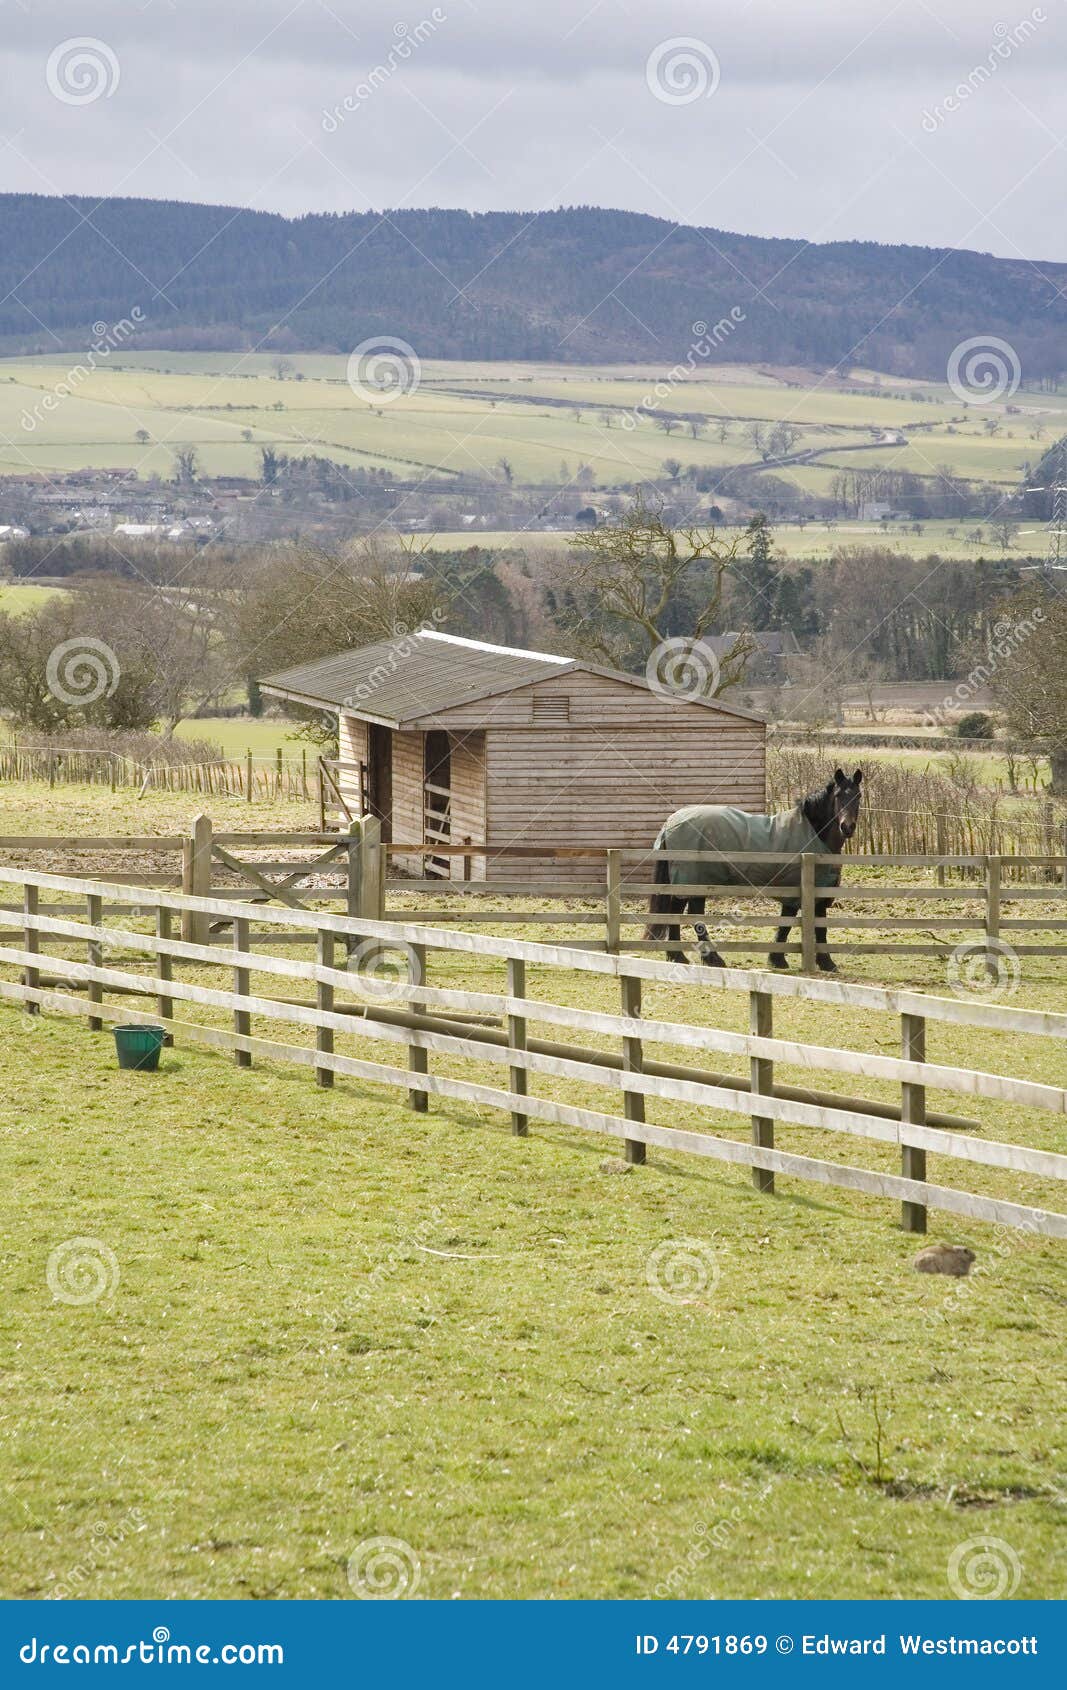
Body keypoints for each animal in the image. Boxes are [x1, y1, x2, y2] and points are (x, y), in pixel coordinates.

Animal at [645, 768, 863, 972]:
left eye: (858, 796)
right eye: (838, 795)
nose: (847, 827)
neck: (813, 833)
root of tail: (671, 821)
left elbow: (786, 924)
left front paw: (778, 959)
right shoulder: (810, 891)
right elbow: (814, 928)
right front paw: (826, 963)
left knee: (676, 913)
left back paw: (677, 956)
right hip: (695, 881)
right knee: (694, 917)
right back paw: (711, 958)